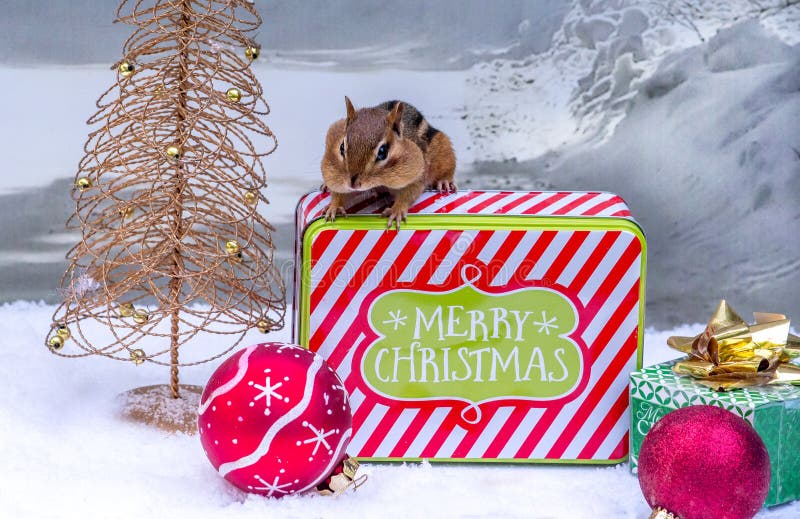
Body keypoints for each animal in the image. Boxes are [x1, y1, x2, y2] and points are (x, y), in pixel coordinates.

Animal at [321, 97, 456, 229]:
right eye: (342, 147)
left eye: (382, 151)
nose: (353, 183)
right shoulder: (332, 170)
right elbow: (337, 190)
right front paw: (334, 206)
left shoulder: (417, 172)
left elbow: (409, 193)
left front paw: (397, 210)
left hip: (443, 148)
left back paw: (444, 182)